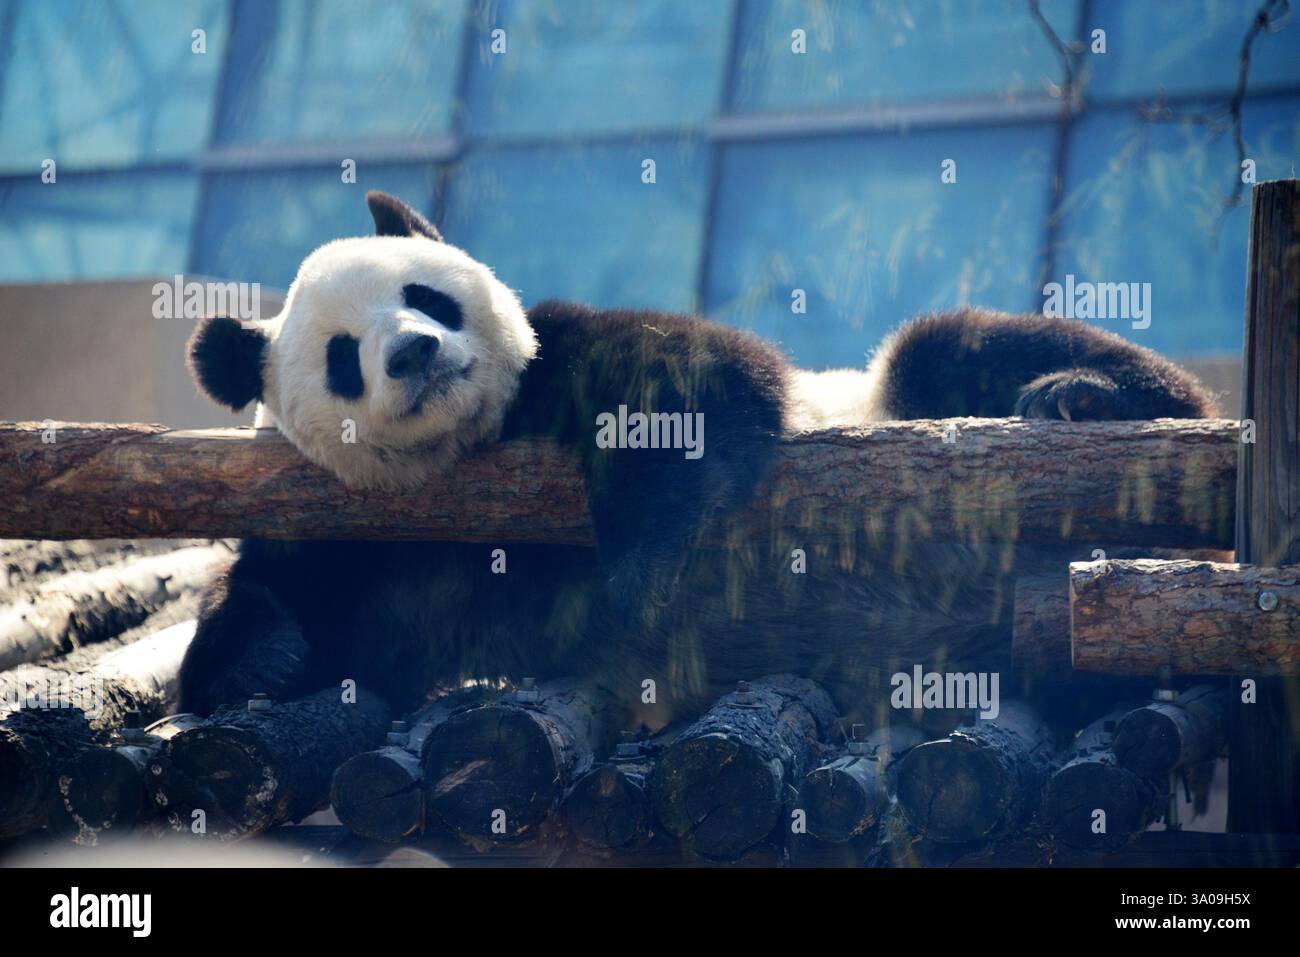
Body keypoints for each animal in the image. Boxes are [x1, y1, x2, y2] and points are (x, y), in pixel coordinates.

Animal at [178, 191, 1216, 722]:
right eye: (342, 355)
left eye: (425, 297)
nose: (415, 353)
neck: (474, 447)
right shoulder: (361, 531)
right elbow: (302, 612)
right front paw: (251, 665)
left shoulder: (559, 354)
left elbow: (692, 378)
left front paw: (642, 558)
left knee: (953, 349)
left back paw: (1086, 399)